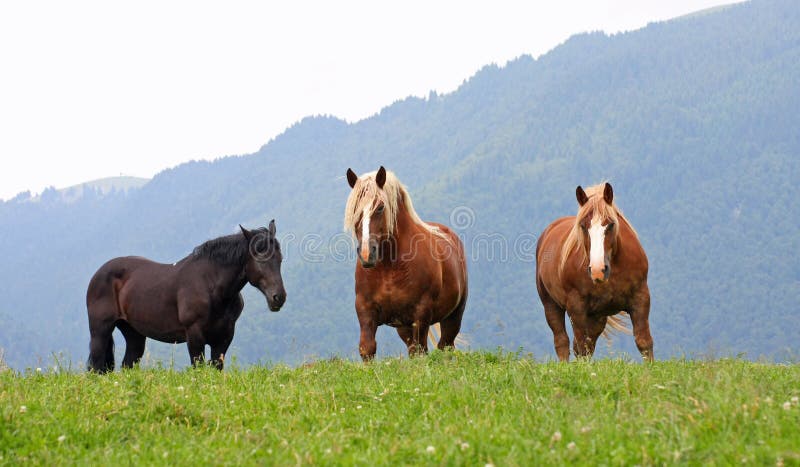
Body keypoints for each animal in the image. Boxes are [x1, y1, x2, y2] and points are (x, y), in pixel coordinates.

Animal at [86, 220, 286, 372]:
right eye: (260, 258)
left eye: (280, 258)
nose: (279, 297)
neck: (211, 286)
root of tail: (98, 274)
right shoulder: (195, 335)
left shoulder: (223, 338)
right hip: (100, 331)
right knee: (96, 367)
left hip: (134, 334)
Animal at [344, 166, 468, 361]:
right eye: (355, 209)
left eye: (380, 207)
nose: (366, 254)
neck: (389, 269)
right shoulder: (365, 309)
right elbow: (367, 348)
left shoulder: (421, 314)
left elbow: (421, 351)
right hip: (404, 327)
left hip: (453, 316)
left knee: (444, 346)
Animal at [535, 183, 653, 361]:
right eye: (583, 226)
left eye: (610, 224)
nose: (598, 270)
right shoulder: (576, 307)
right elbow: (580, 347)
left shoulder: (640, 297)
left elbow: (644, 342)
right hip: (551, 304)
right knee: (562, 341)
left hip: (597, 316)